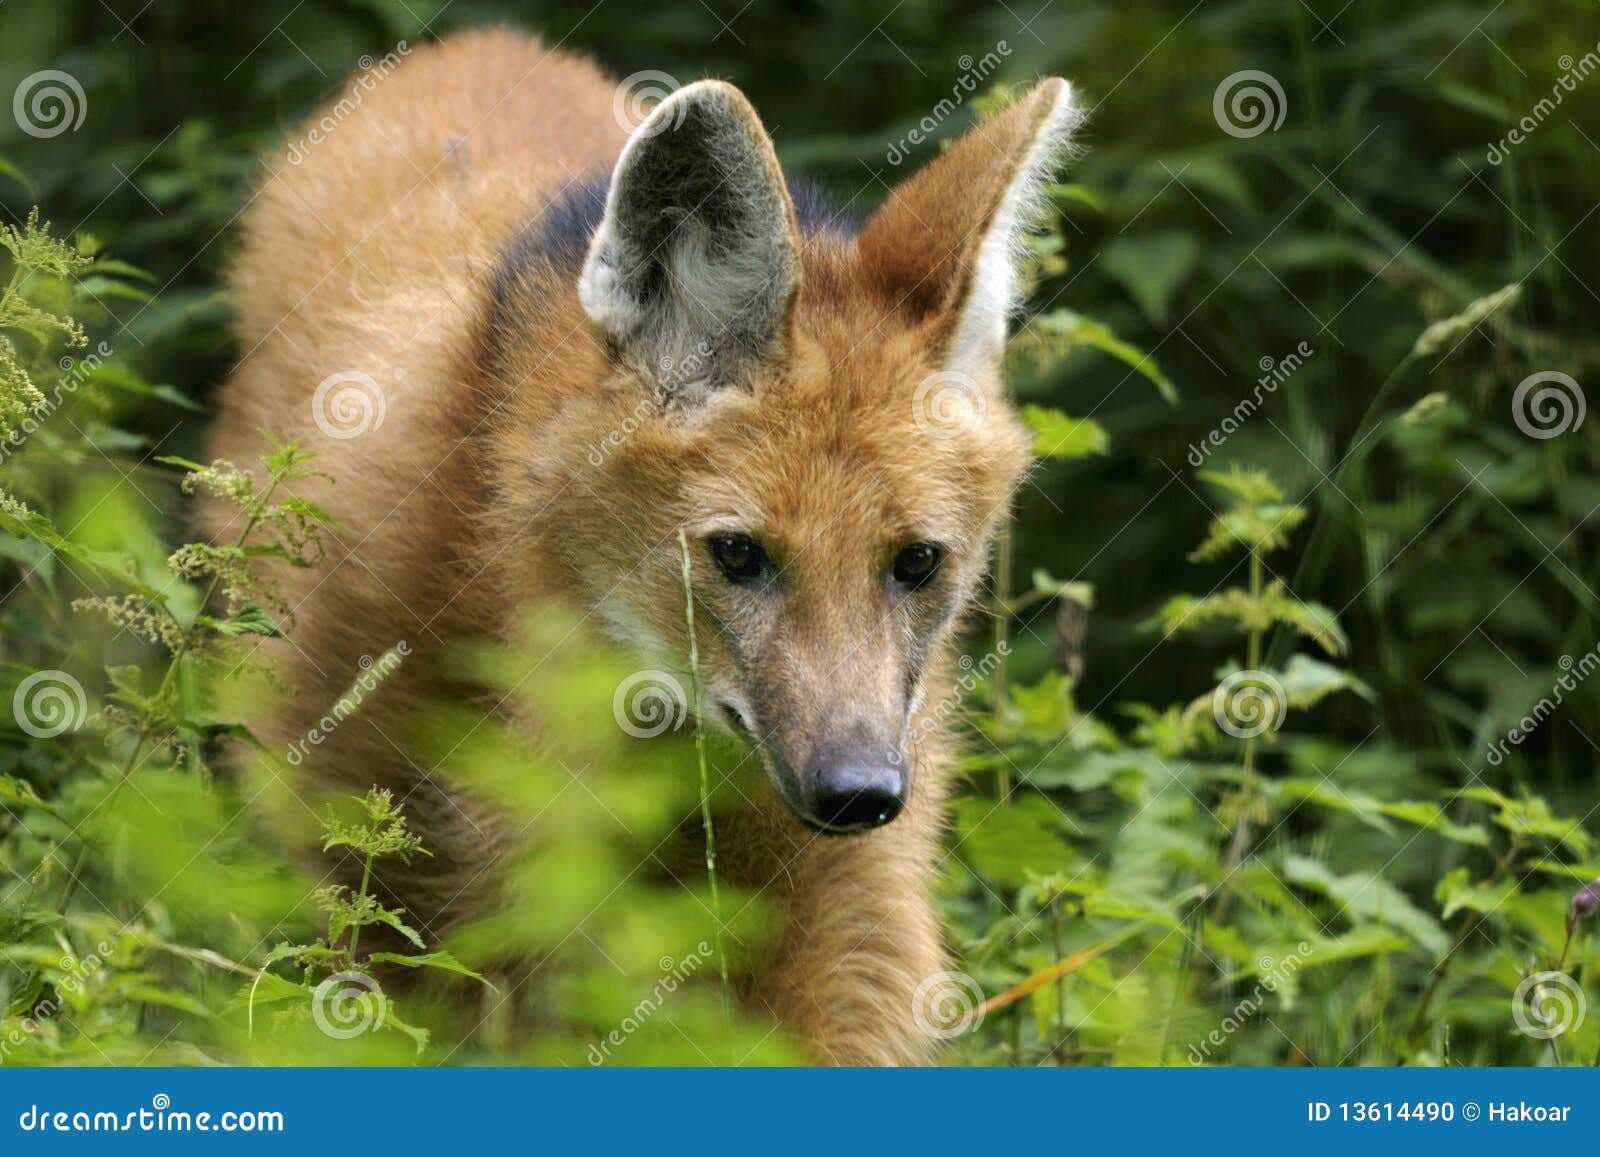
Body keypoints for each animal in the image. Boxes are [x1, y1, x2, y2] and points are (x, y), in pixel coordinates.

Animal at [204, 28, 1082, 1065]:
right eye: (738, 553)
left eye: (916, 562)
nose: (858, 792)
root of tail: (470, 42)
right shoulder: (399, 853)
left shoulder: (821, 880)